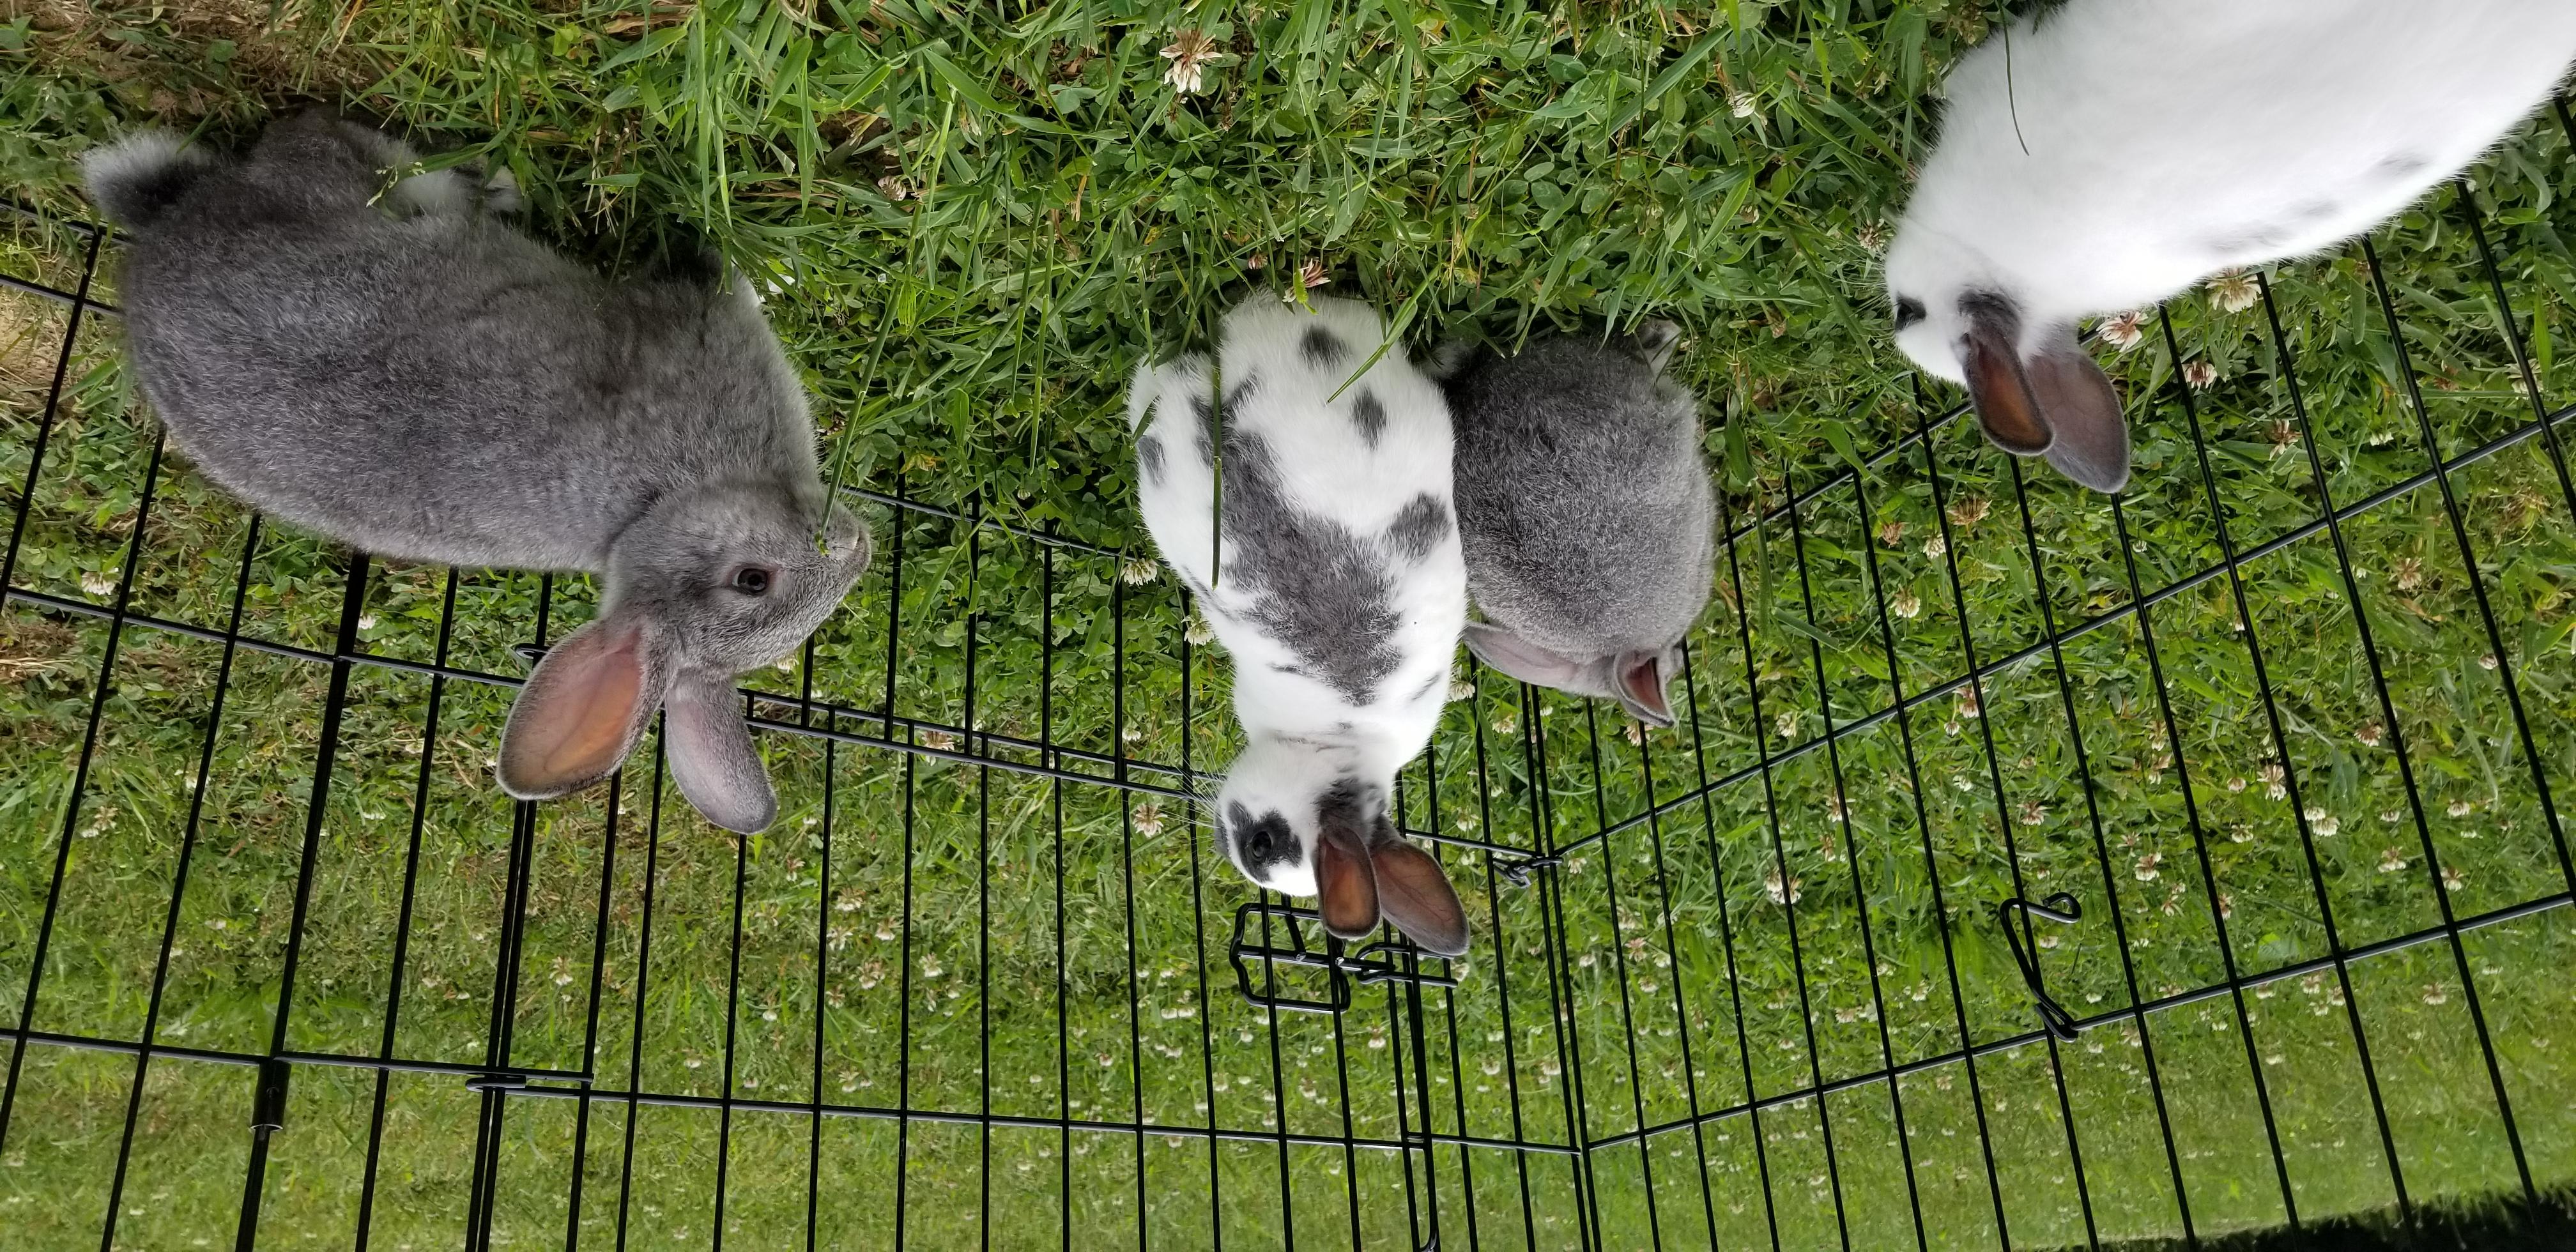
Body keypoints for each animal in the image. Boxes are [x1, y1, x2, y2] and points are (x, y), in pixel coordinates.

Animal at [81, 110, 869, 834]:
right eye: (752, 581)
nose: (858, 548)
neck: (654, 508)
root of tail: (168, 221)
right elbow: (711, 272)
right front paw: (774, 265)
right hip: (347, 188)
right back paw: (493, 180)